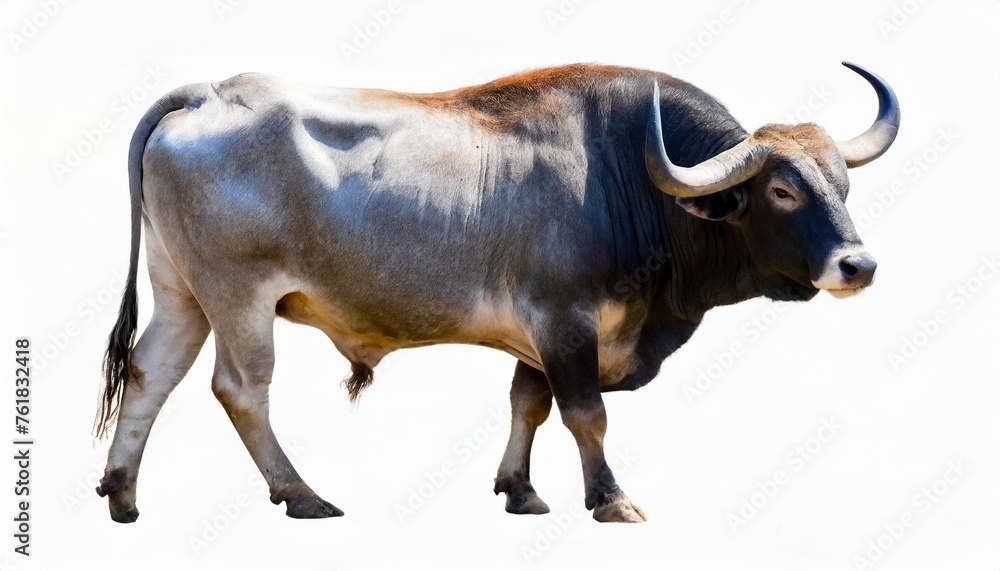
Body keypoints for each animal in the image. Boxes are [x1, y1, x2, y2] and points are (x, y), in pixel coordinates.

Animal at [95, 62, 899, 524]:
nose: (858, 265)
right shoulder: (565, 319)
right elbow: (585, 413)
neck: (629, 175)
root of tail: (208, 93)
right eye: (783, 190)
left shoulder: (539, 338)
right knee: (240, 389)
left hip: (182, 294)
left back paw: (123, 491)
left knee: (149, 373)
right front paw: (610, 498)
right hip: (239, 299)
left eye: (843, 182)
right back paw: (302, 494)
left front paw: (519, 489)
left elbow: (527, 403)